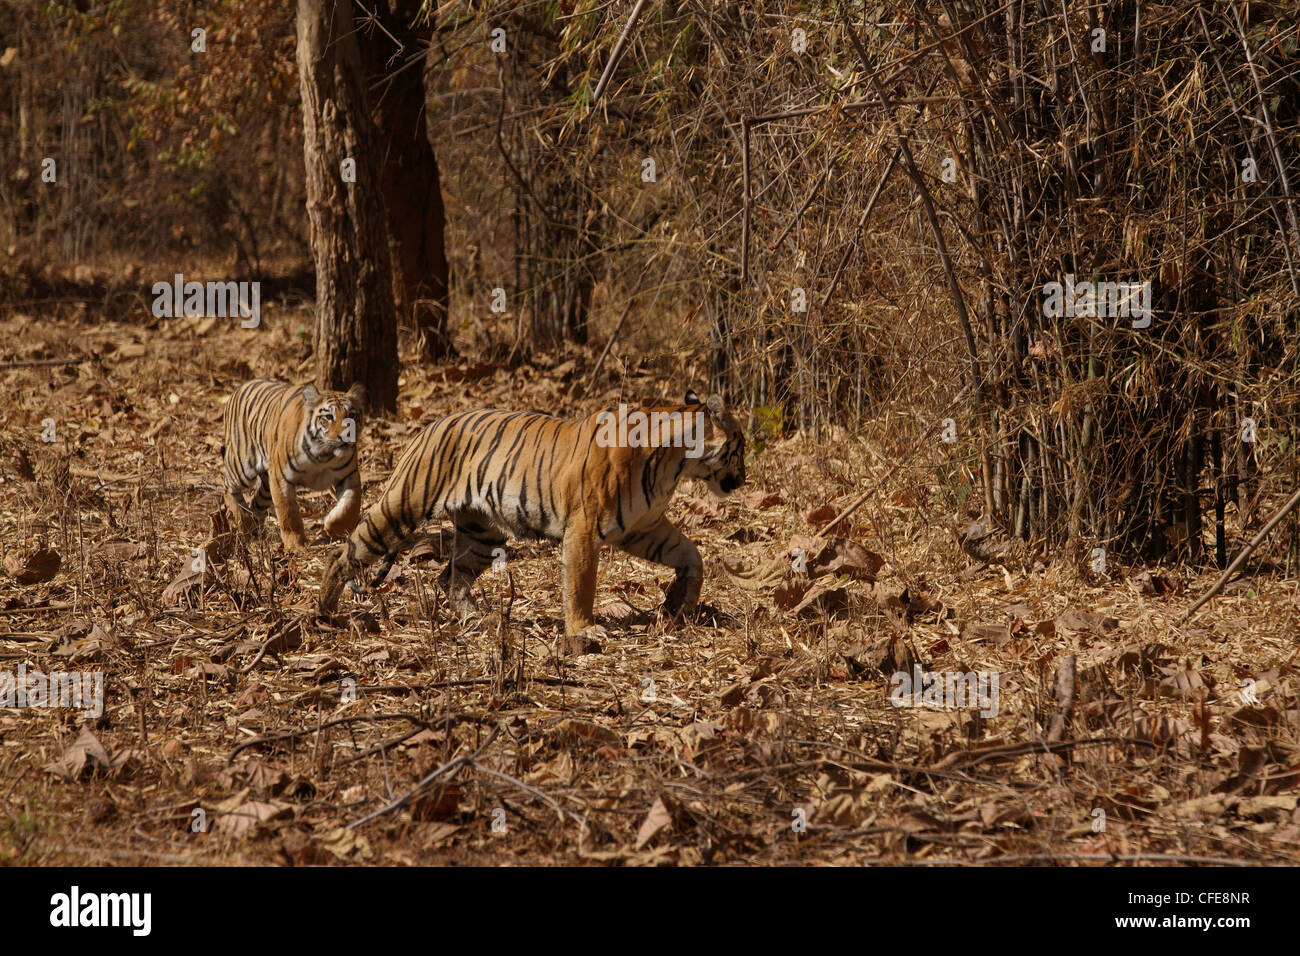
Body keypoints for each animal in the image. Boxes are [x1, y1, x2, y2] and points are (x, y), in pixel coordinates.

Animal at [220, 378, 367, 551]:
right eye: (329, 416)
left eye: (351, 415)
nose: (346, 436)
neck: (323, 455)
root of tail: (240, 387)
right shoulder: (280, 478)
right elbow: (288, 512)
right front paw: (296, 545)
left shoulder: (349, 475)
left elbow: (350, 505)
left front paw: (335, 528)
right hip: (243, 465)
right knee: (227, 485)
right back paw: (243, 519)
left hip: (266, 487)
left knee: (256, 504)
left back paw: (254, 533)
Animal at [318, 391, 746, 641]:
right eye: (740, 445)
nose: (744, 479)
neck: (676, 463)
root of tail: (431, 425)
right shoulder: (585, 529)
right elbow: (581, 584)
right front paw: (585, 630)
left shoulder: (643, 528)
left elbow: (691, 554)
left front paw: (683, 601)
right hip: (402, 506)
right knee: (344, 552)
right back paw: (323, 611)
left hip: (483, 534)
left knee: (450, 578)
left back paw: (479, 620)